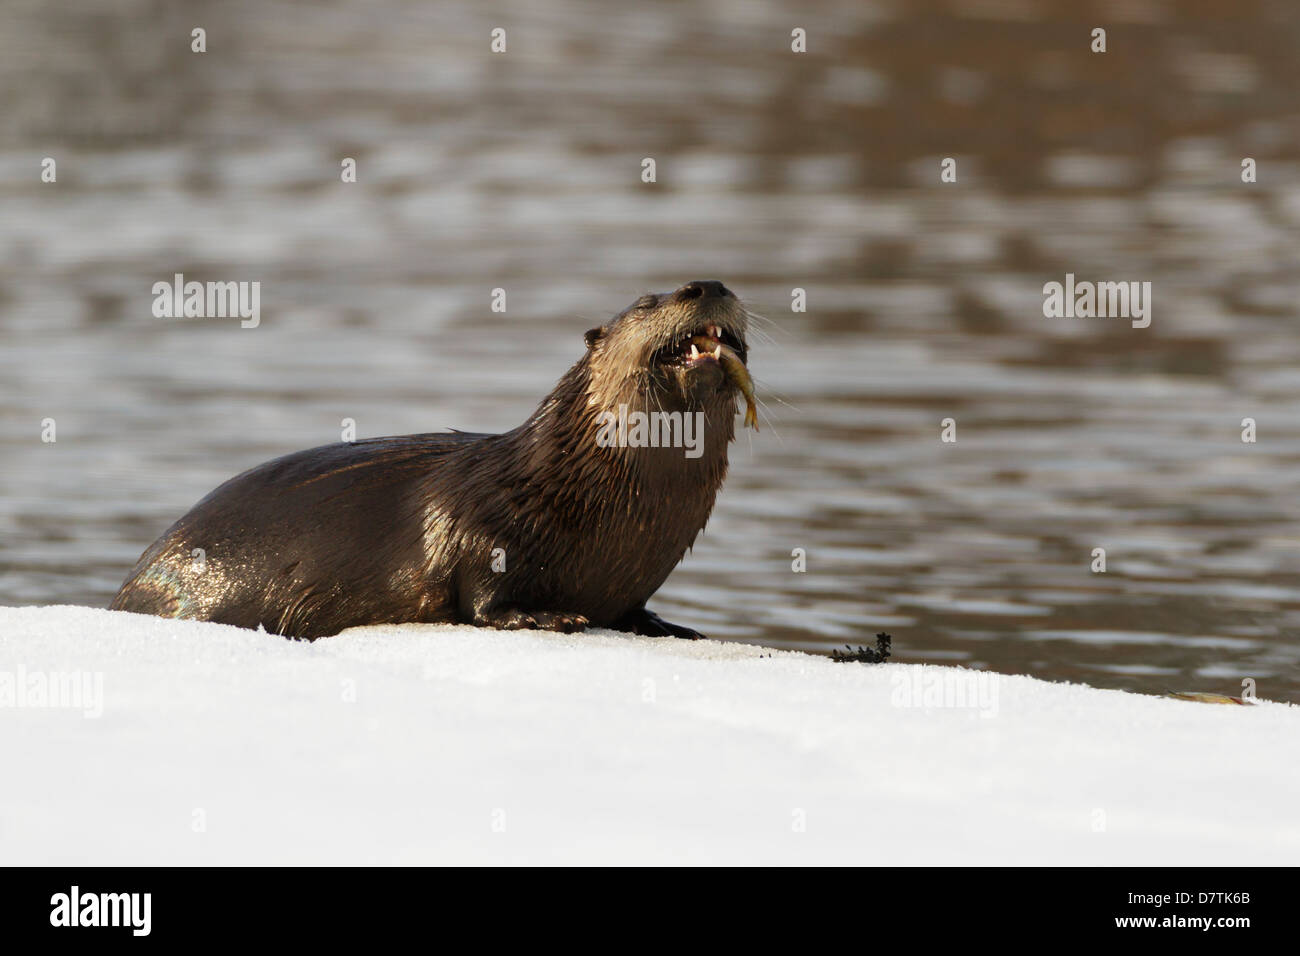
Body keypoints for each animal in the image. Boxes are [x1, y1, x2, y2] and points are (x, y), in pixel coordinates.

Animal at [110, 279, 754, 640]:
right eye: (647, 302)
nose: (706, 284)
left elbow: (635, 610)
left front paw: (672, 626)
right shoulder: (482, 523)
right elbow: (480, 593)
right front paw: (548, 617)